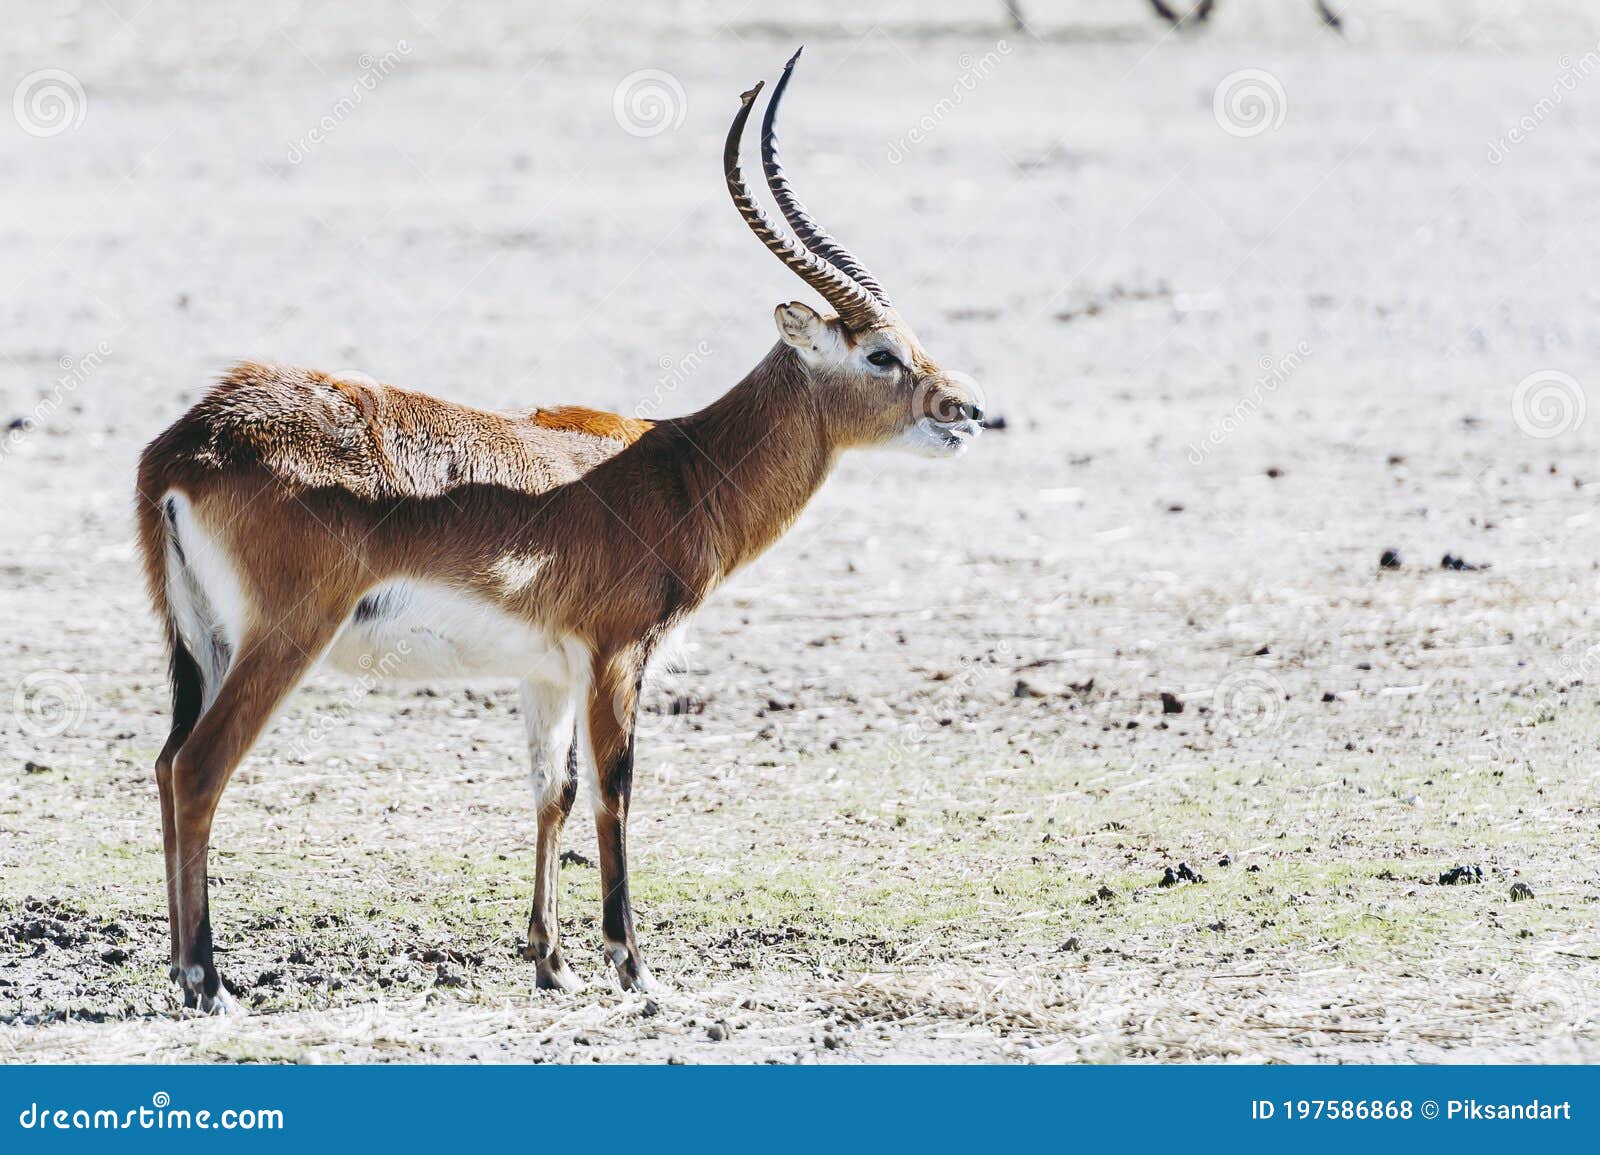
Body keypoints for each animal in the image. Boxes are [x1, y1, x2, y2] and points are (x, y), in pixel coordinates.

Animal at [136, 49, 984, 1012]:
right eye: (882, 353)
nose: (966, 409)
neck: (676, 466)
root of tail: (190, 440)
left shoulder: (545, 669)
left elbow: (555, 790)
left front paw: (552, 959)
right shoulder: (617, 655)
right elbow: (616, 790)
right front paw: (634, 965)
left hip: (203, 642)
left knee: (166, 763)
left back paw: (183, 969)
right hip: (281, 641)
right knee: (200, 768)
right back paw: (209, 978)